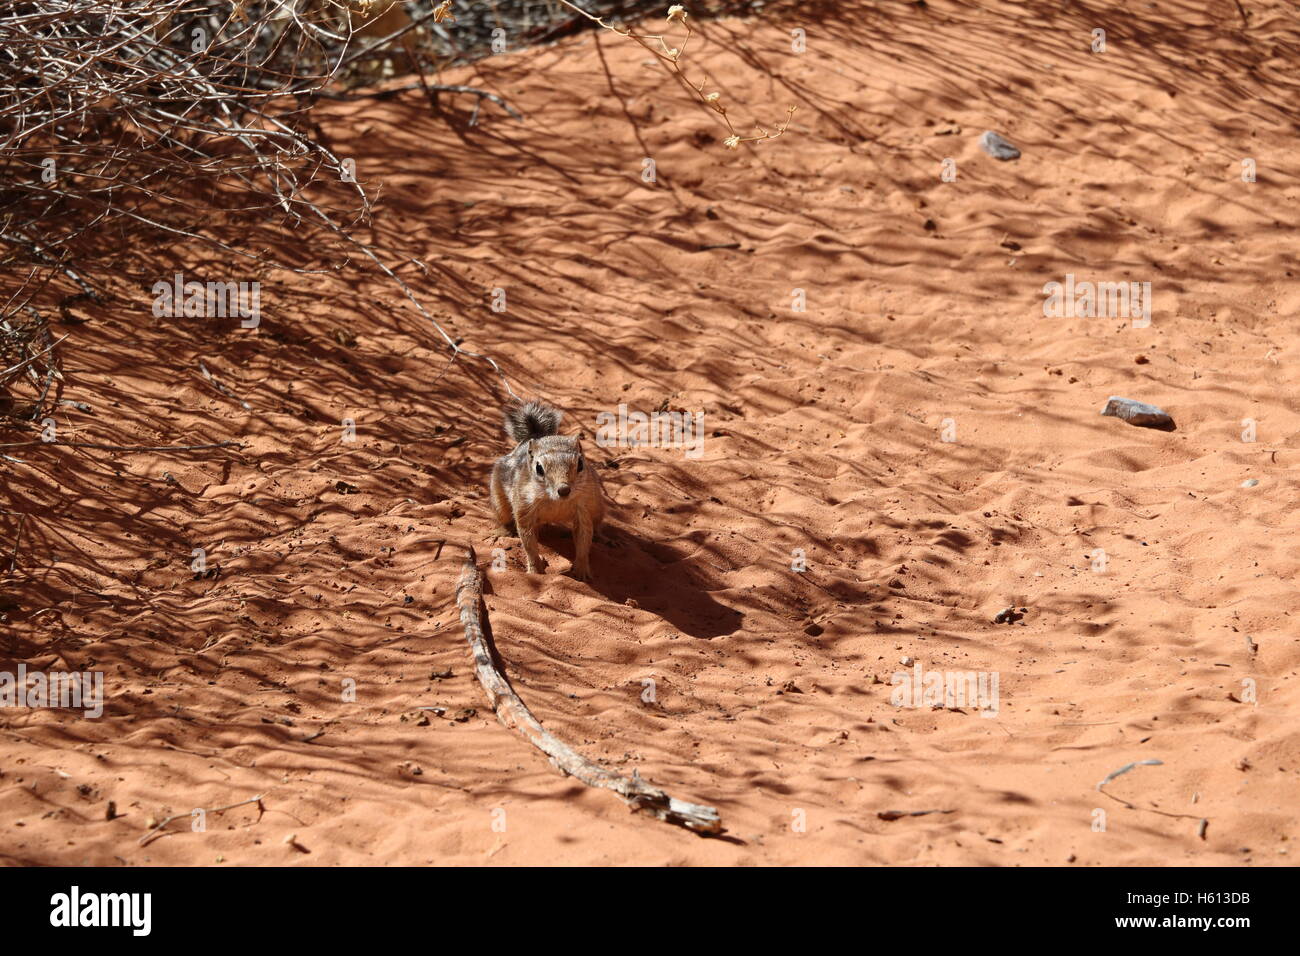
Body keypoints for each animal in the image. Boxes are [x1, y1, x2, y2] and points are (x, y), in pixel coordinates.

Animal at [490, 400, 606, 580]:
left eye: (580, 464)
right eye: (539, 468)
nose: (564, 490)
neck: (555, 501)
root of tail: (535, 435)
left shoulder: (584, 510)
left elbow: (584, 539)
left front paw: (581, 571)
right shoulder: (524, 509)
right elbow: (529, 542)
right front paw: (535, 569)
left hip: (597, 507)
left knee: (597, 525)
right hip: (499, 499)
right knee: (505, 517)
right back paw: (503, 531)